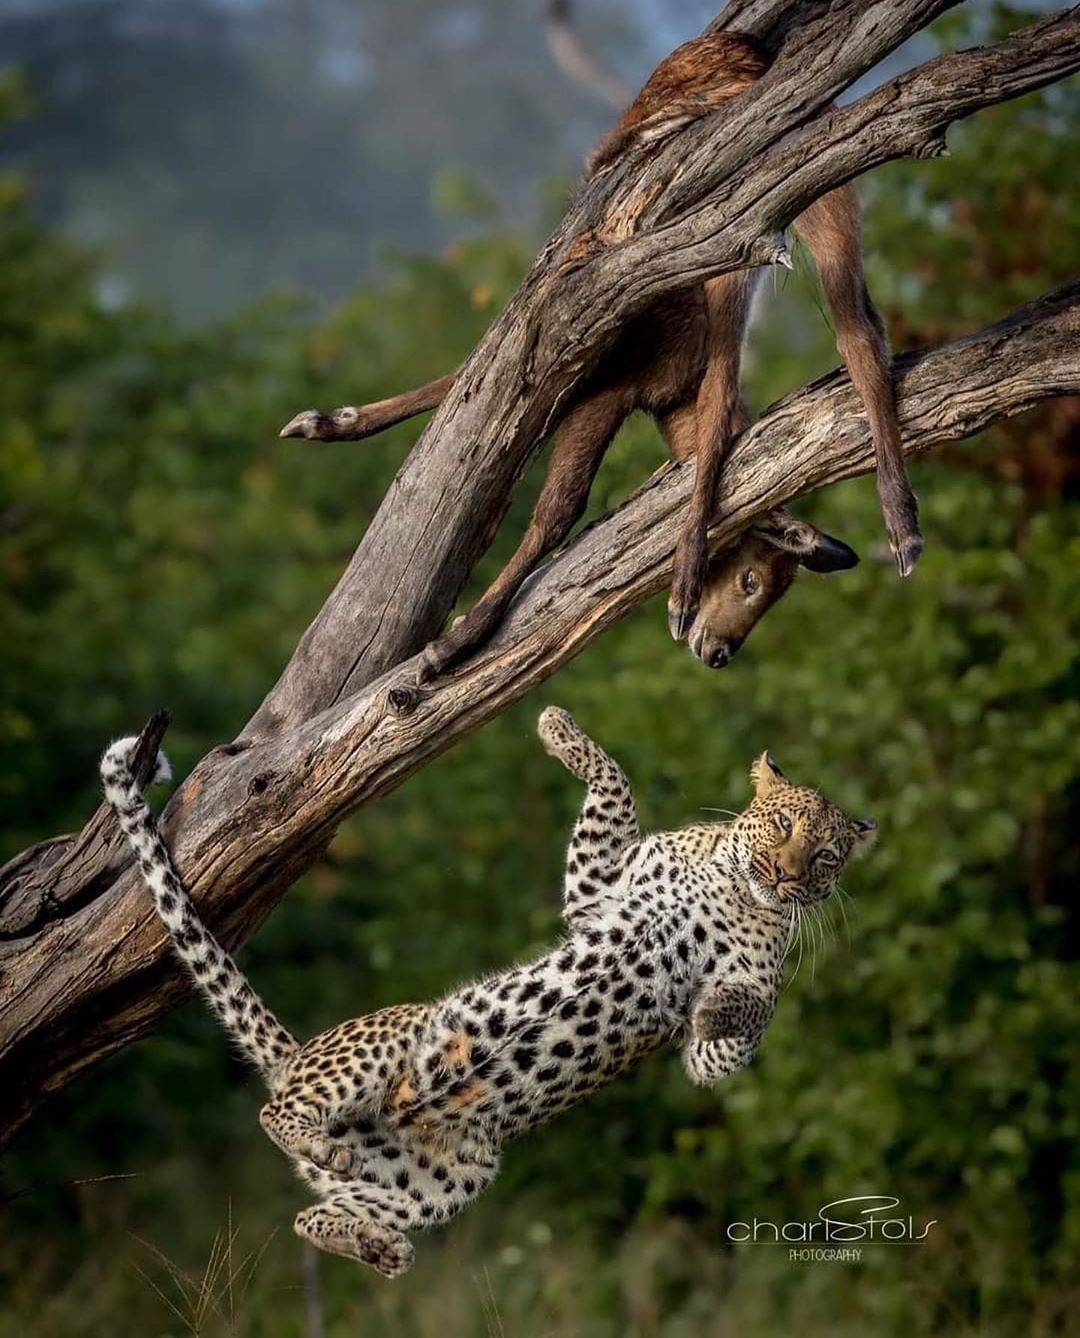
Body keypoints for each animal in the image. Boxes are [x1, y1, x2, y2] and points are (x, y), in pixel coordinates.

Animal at [100, 708, 876, 1278]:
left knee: (306, 1210)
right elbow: (612, 785)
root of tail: (298, 1055)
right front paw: (559, 728)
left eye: (825, 856)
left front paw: (713, 1008)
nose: (787, 873)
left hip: (445, 1182)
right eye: (783, 824)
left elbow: (744, 1019)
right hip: (396, 1040)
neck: (734, 887)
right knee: (275, 1114)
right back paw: (326, 1156)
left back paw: (377, 1243)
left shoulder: (724, 1036)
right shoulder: (597, 894)